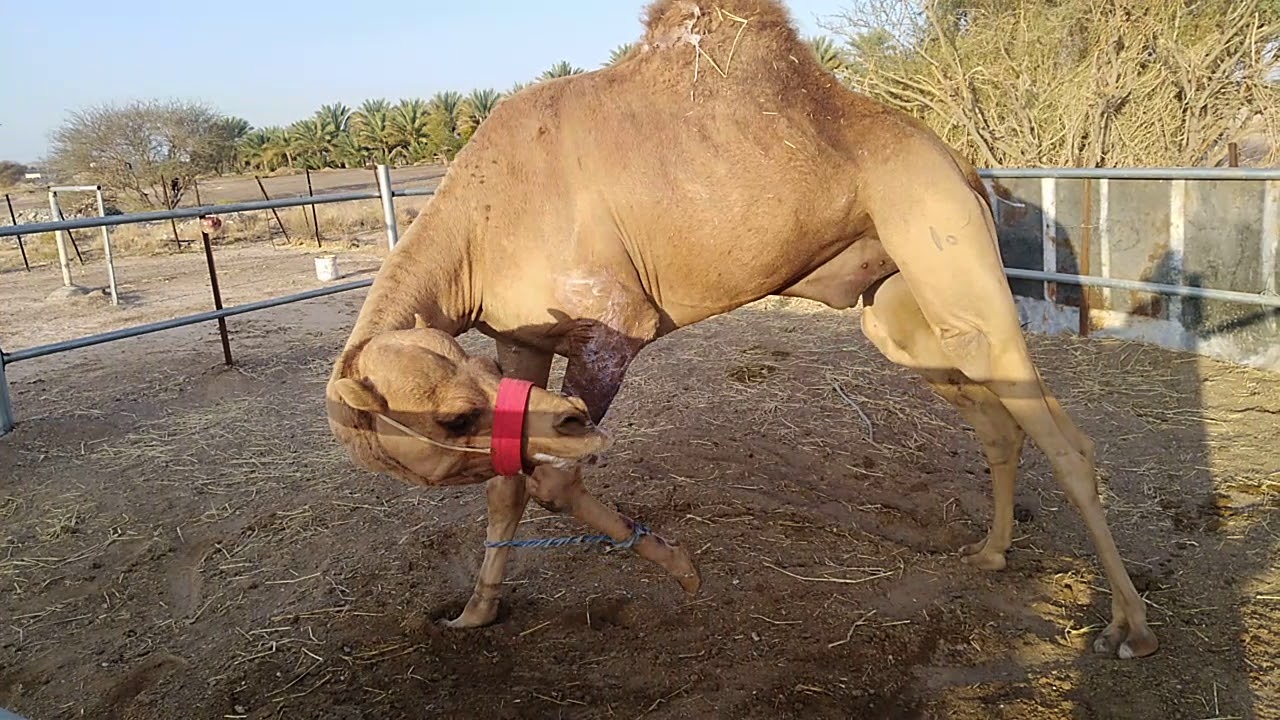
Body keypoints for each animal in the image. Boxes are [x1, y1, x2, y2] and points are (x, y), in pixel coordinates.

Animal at [325, 0, 1159, 660]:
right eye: (455, 413)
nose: (565, 419)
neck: (478, 221)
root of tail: (961, 165)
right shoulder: (519, 342)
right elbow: (509, 485)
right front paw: (474, 613)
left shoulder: (614, 323)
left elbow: (555, 477)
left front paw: (681, 566)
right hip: (899, 308)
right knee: (993, 417)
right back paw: (988, 554)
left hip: (943, 242)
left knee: (1062, 435)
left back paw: (1131, 628)